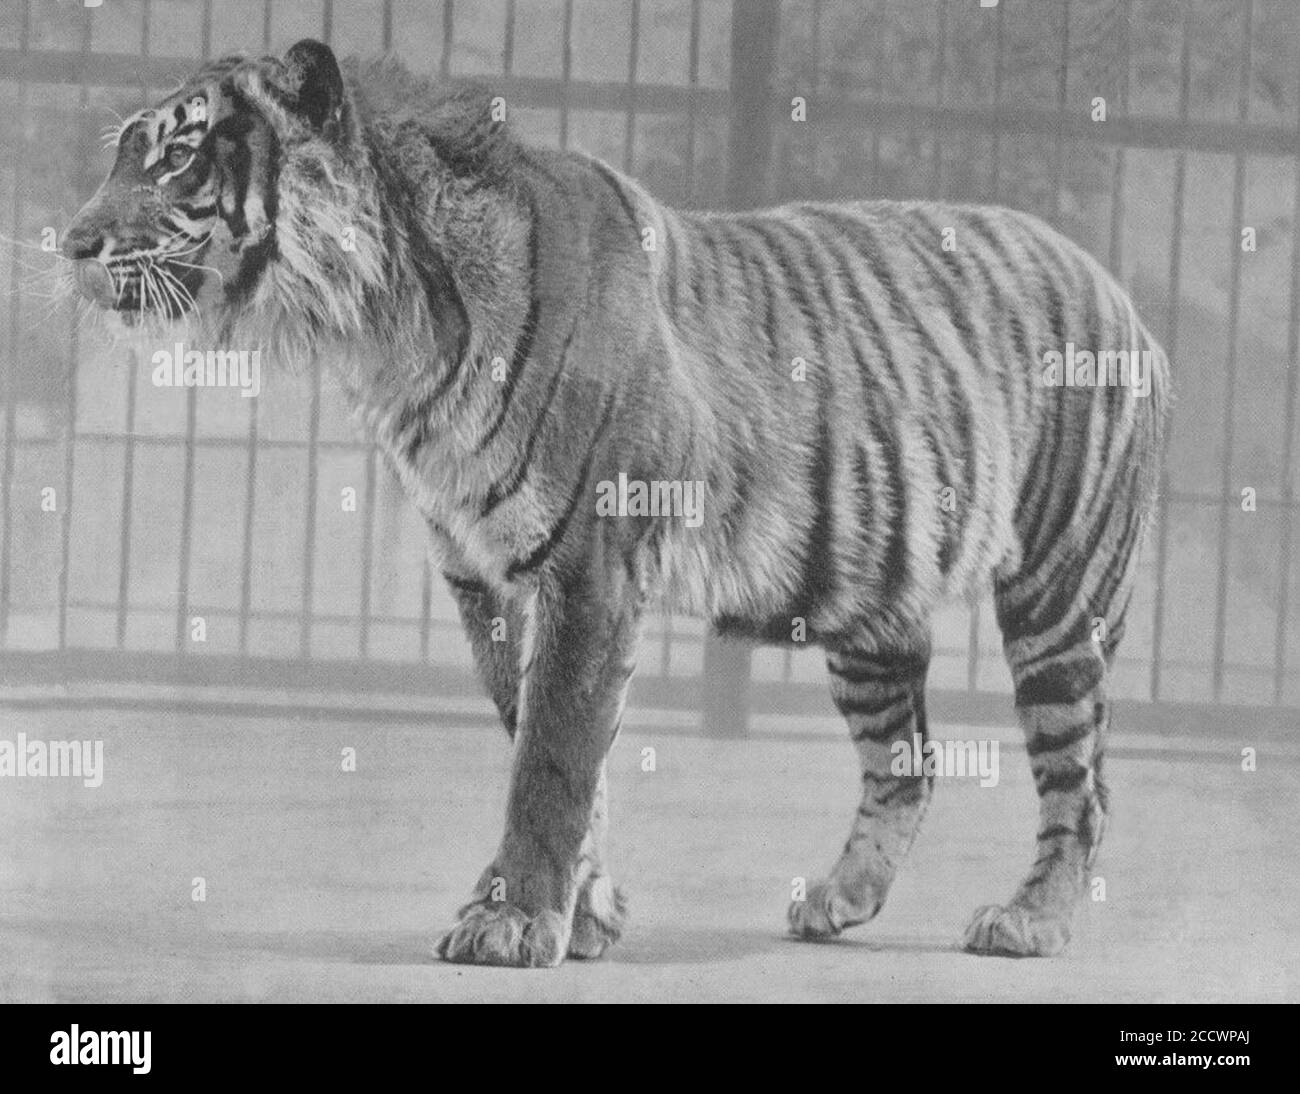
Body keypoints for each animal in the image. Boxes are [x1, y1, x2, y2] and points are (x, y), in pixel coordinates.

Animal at [60, 40, 1169, 967]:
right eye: (124, 154)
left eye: (177, 158)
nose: (67, 243)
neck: (384, 327)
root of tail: (1116, 284)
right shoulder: (486, 578)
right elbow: (552, 747)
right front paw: (582, 914)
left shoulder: (588, 563)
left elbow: (551, 759)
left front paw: (514, 921)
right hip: (870, 609)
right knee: (908, 760)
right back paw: (836, 900)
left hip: (1058, 596)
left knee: (1084, 780)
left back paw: (1031, 919)